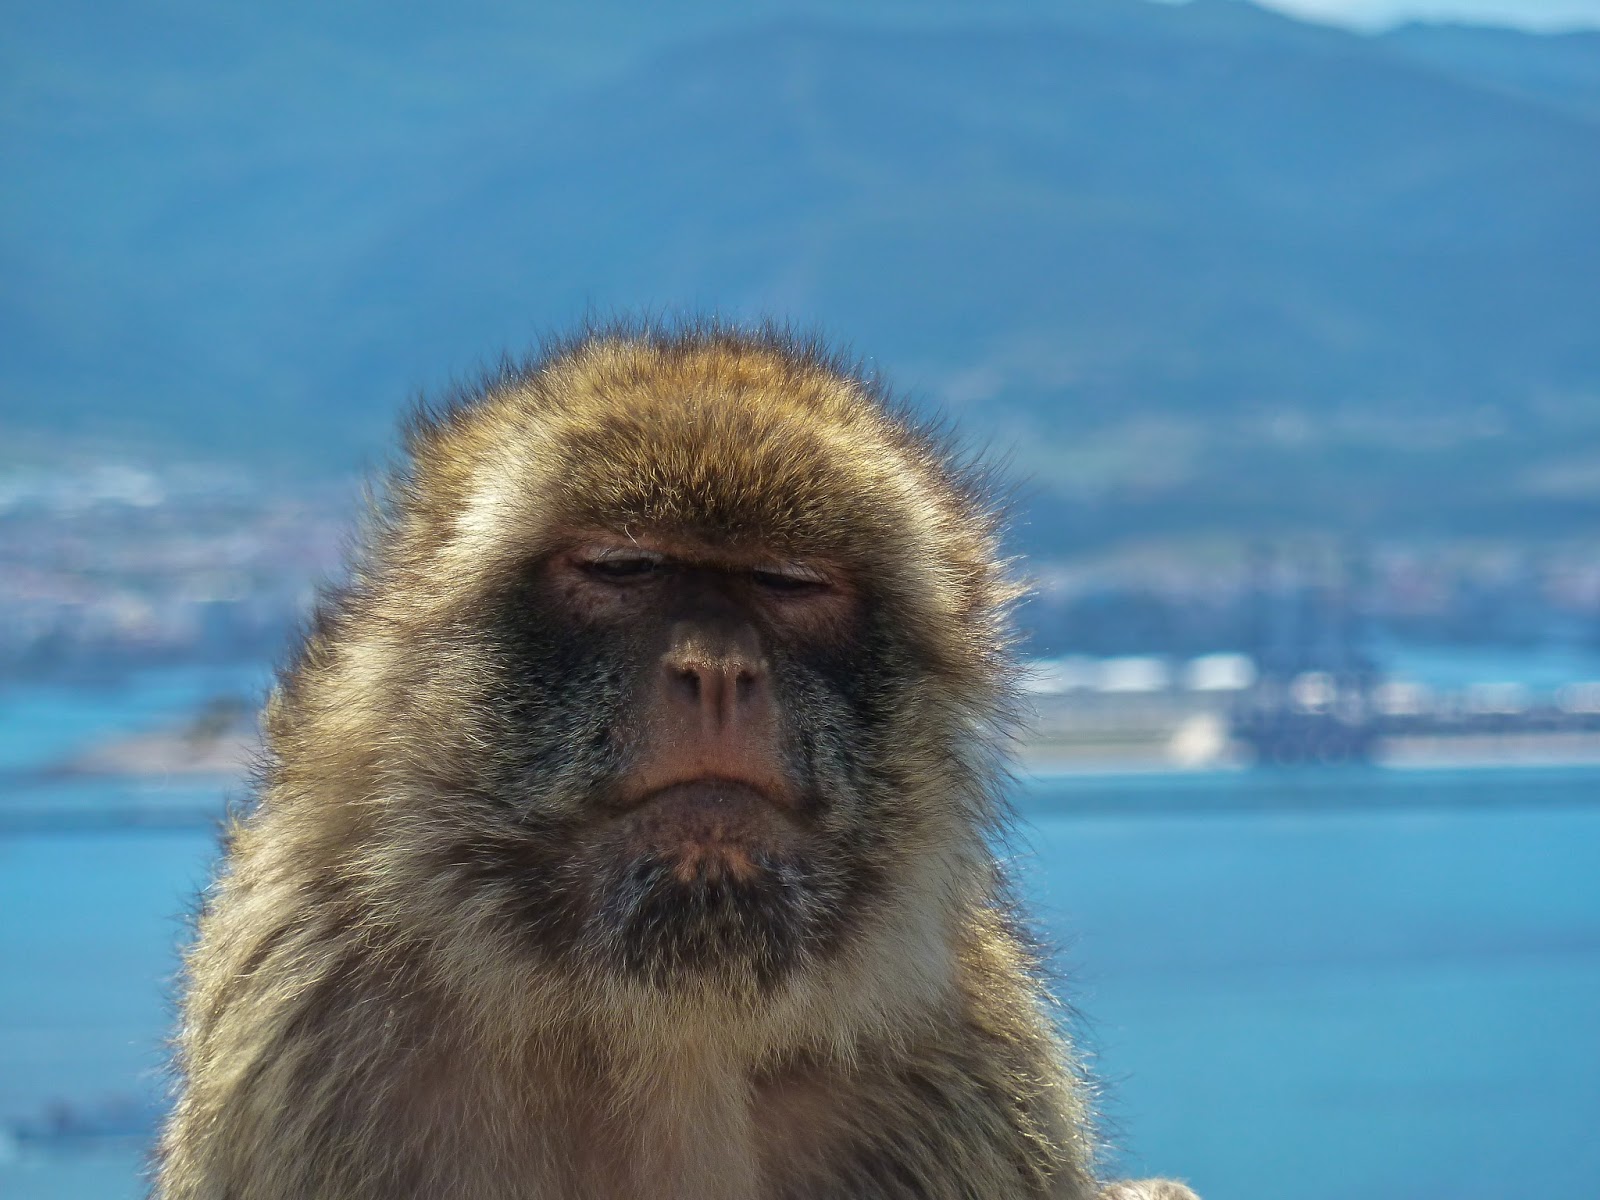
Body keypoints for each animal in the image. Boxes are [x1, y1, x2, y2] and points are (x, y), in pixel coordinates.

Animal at [157, 323, 1198, 1200]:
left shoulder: (968, 1063)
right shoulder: (311, 1022)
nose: (718, 668)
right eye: (625, 567)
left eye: (789, 582)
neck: (662, 1022)